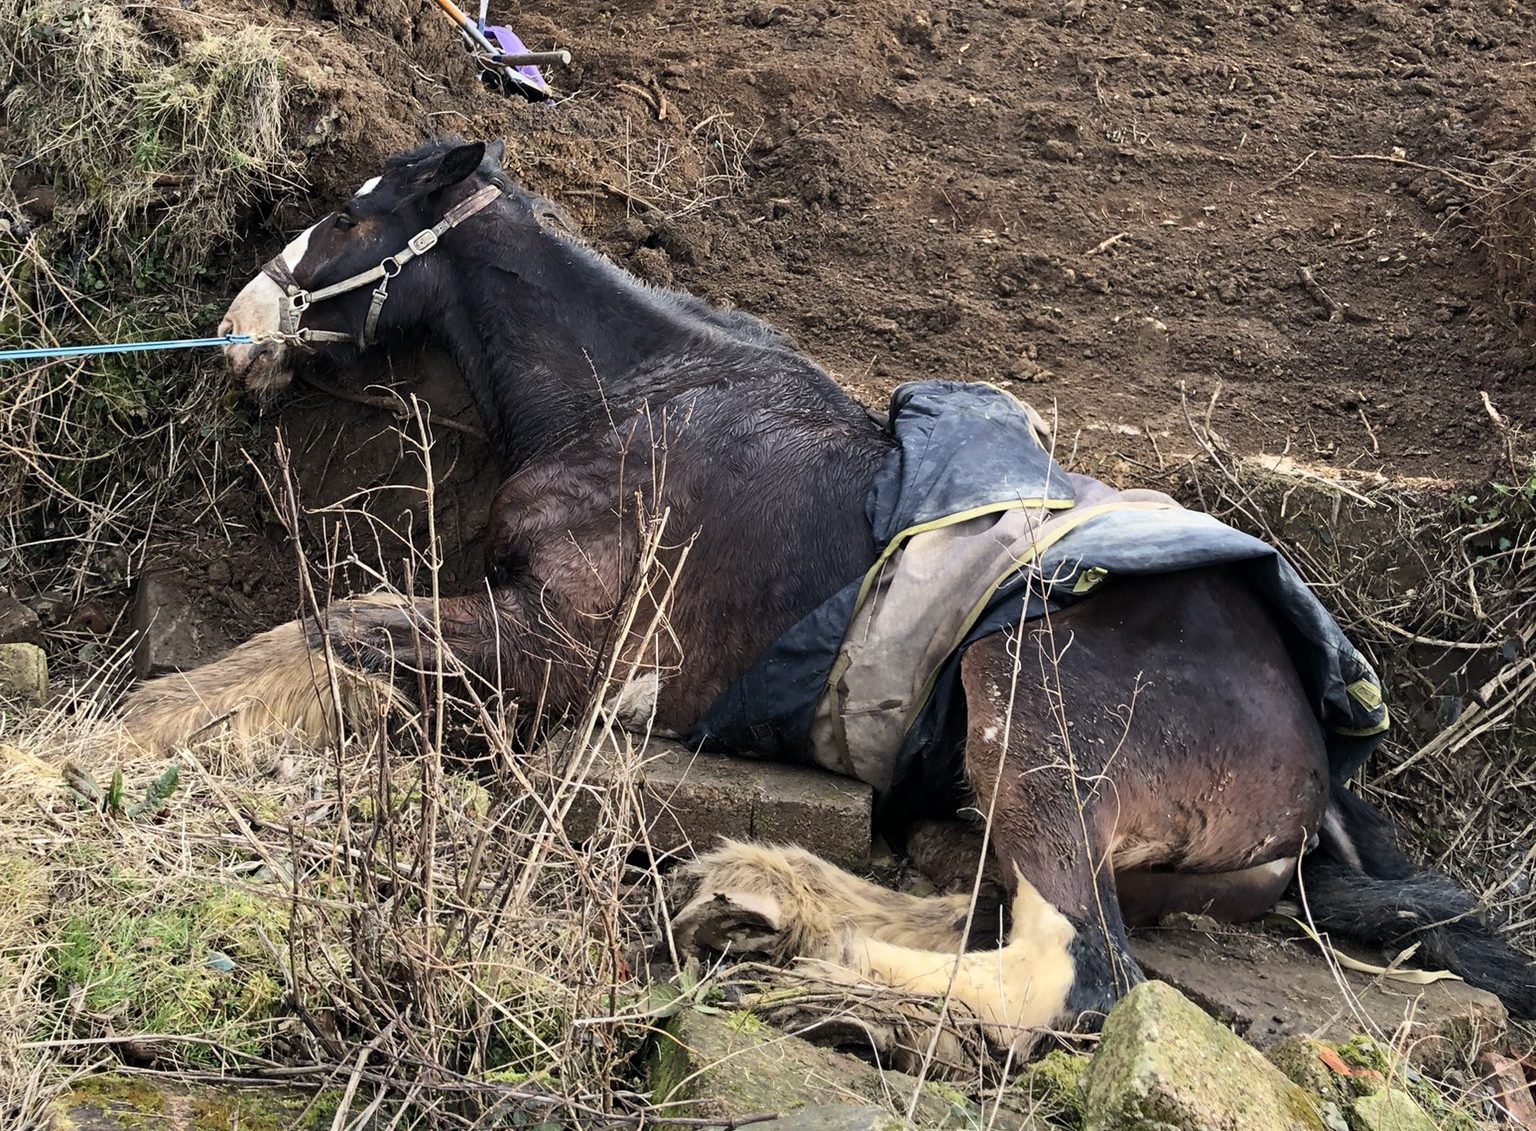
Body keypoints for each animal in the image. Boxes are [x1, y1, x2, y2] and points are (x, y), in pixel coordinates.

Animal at [123, 137, 1536, 1050]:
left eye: (350, 219)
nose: (238, 326)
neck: (639, 400)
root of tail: (1317, 764)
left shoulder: (573, 651)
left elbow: (334, 627)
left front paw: (109, 743)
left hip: (1032, 695)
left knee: (1073, 972)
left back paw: (812, 965)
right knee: (989, 903)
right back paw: (763, 896)